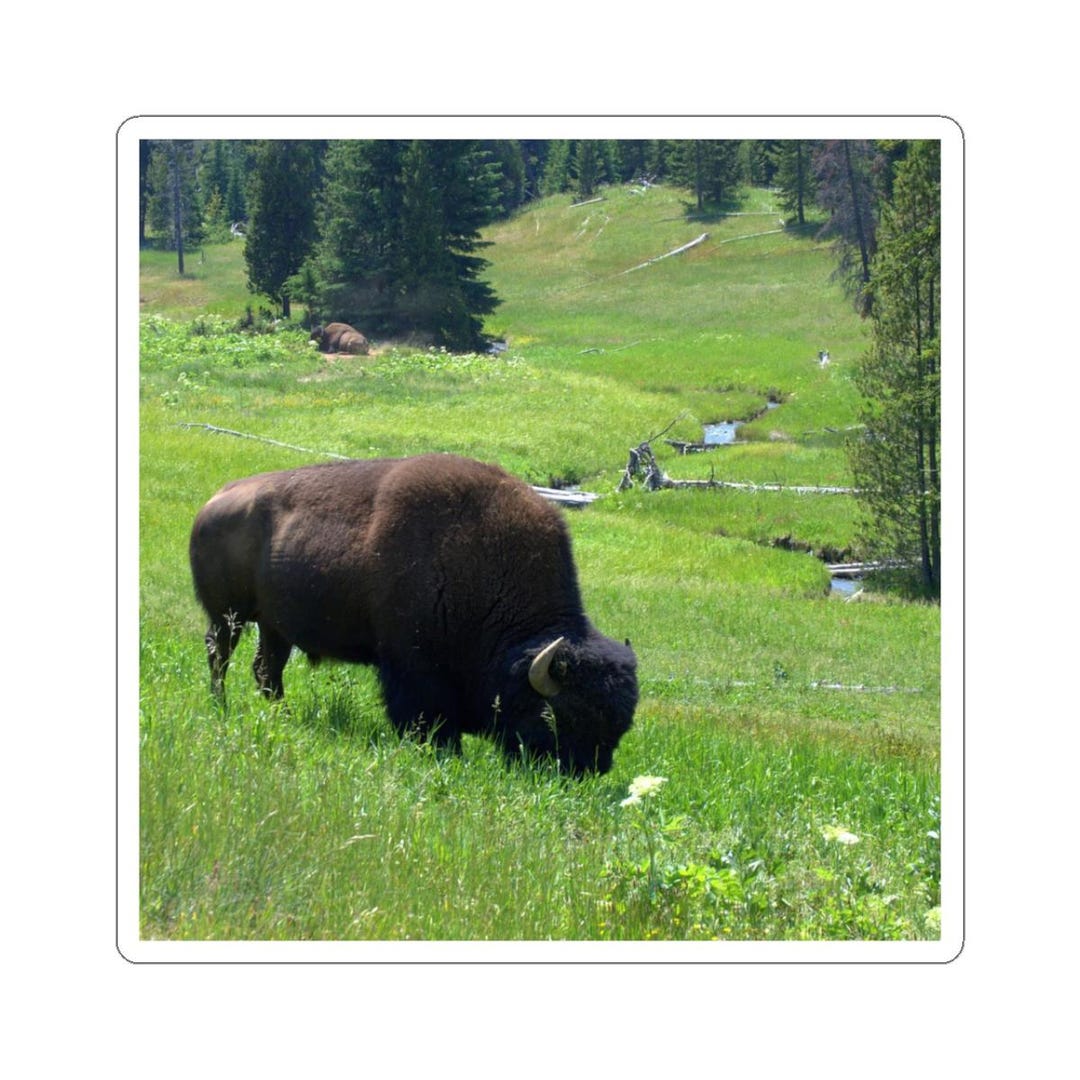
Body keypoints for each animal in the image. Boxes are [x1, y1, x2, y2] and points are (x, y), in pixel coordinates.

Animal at [189, 454, 638, 774]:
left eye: (620, 722)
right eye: (560, 716)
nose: (586, 771)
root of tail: (212, 502)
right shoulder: (412, 667)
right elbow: (422, 713)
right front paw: (440, 750)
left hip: (273, 625)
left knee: (267, 670)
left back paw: (279, 715)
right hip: (227, 615)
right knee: (220, 655)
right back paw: (220, 704)